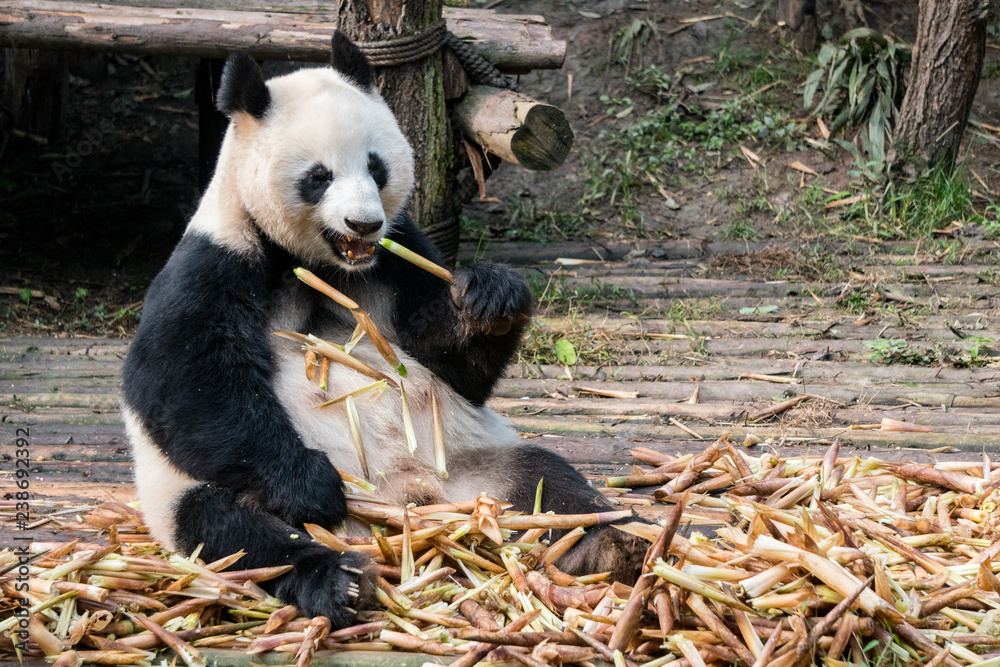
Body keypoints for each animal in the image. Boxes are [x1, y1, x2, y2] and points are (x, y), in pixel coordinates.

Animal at [121, 33, 647, 629]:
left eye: (376, 168)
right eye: (318, 176)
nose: (364, 224)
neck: (323, 266)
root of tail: (402, 504)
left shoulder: (400, 256)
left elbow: (451, 366)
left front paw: (490, 297)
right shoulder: (218, 258)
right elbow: (181, 383)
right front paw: (309, 483)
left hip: (474, 467)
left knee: (546, 480)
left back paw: (608, 544)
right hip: (197, 495)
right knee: (234, 530)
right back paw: (338, 579)